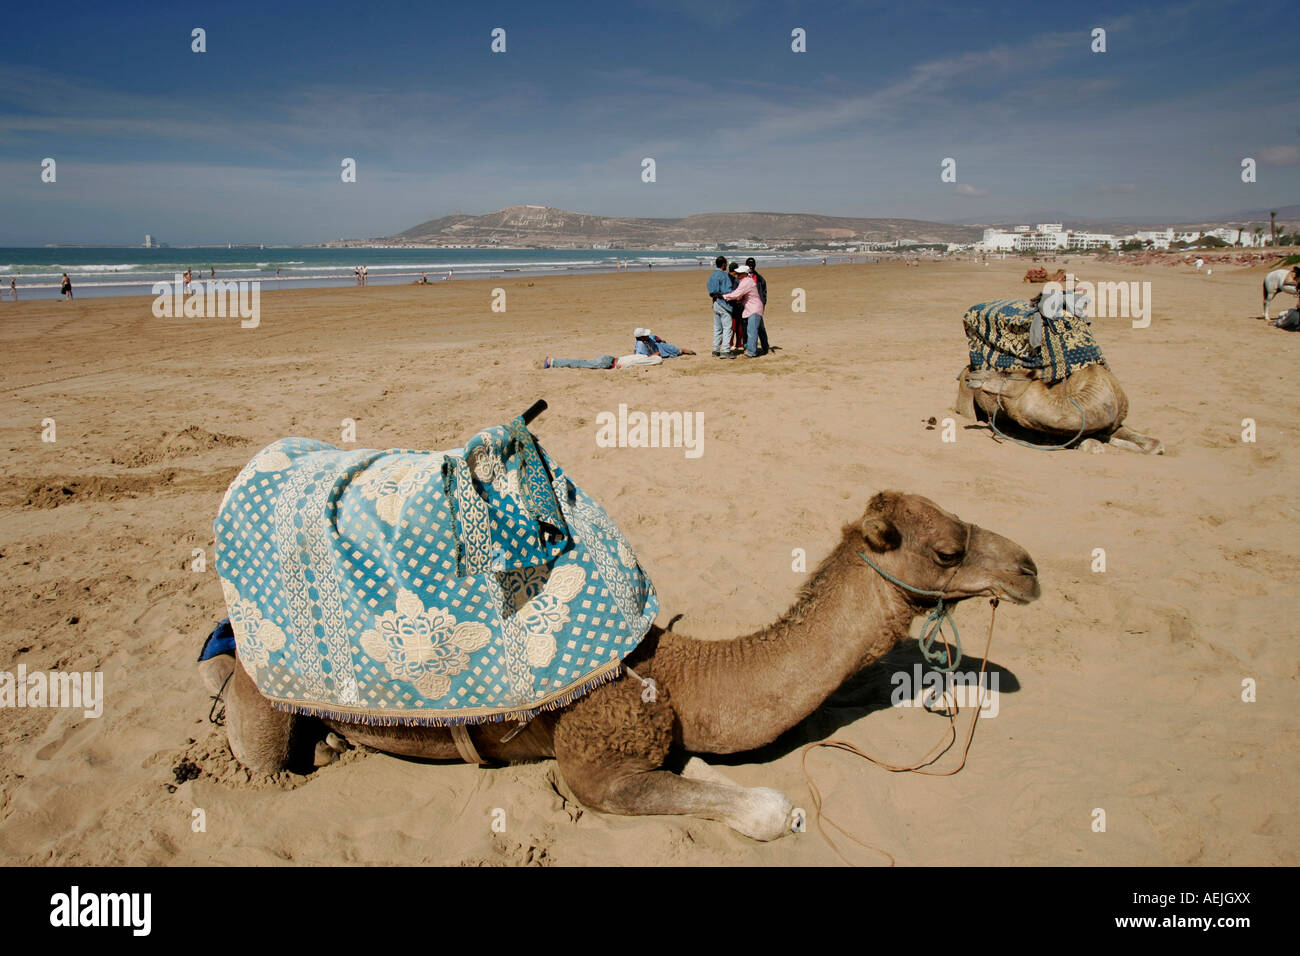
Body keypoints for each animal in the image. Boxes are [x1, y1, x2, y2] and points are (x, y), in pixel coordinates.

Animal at [199, 490, 1040, 842]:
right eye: (948, 550)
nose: (1029, 568)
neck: (680, 673)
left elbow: (704, 772)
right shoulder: (596, 755)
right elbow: (759, 806)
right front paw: (769, 813)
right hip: (263, 707)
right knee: (262, 752)